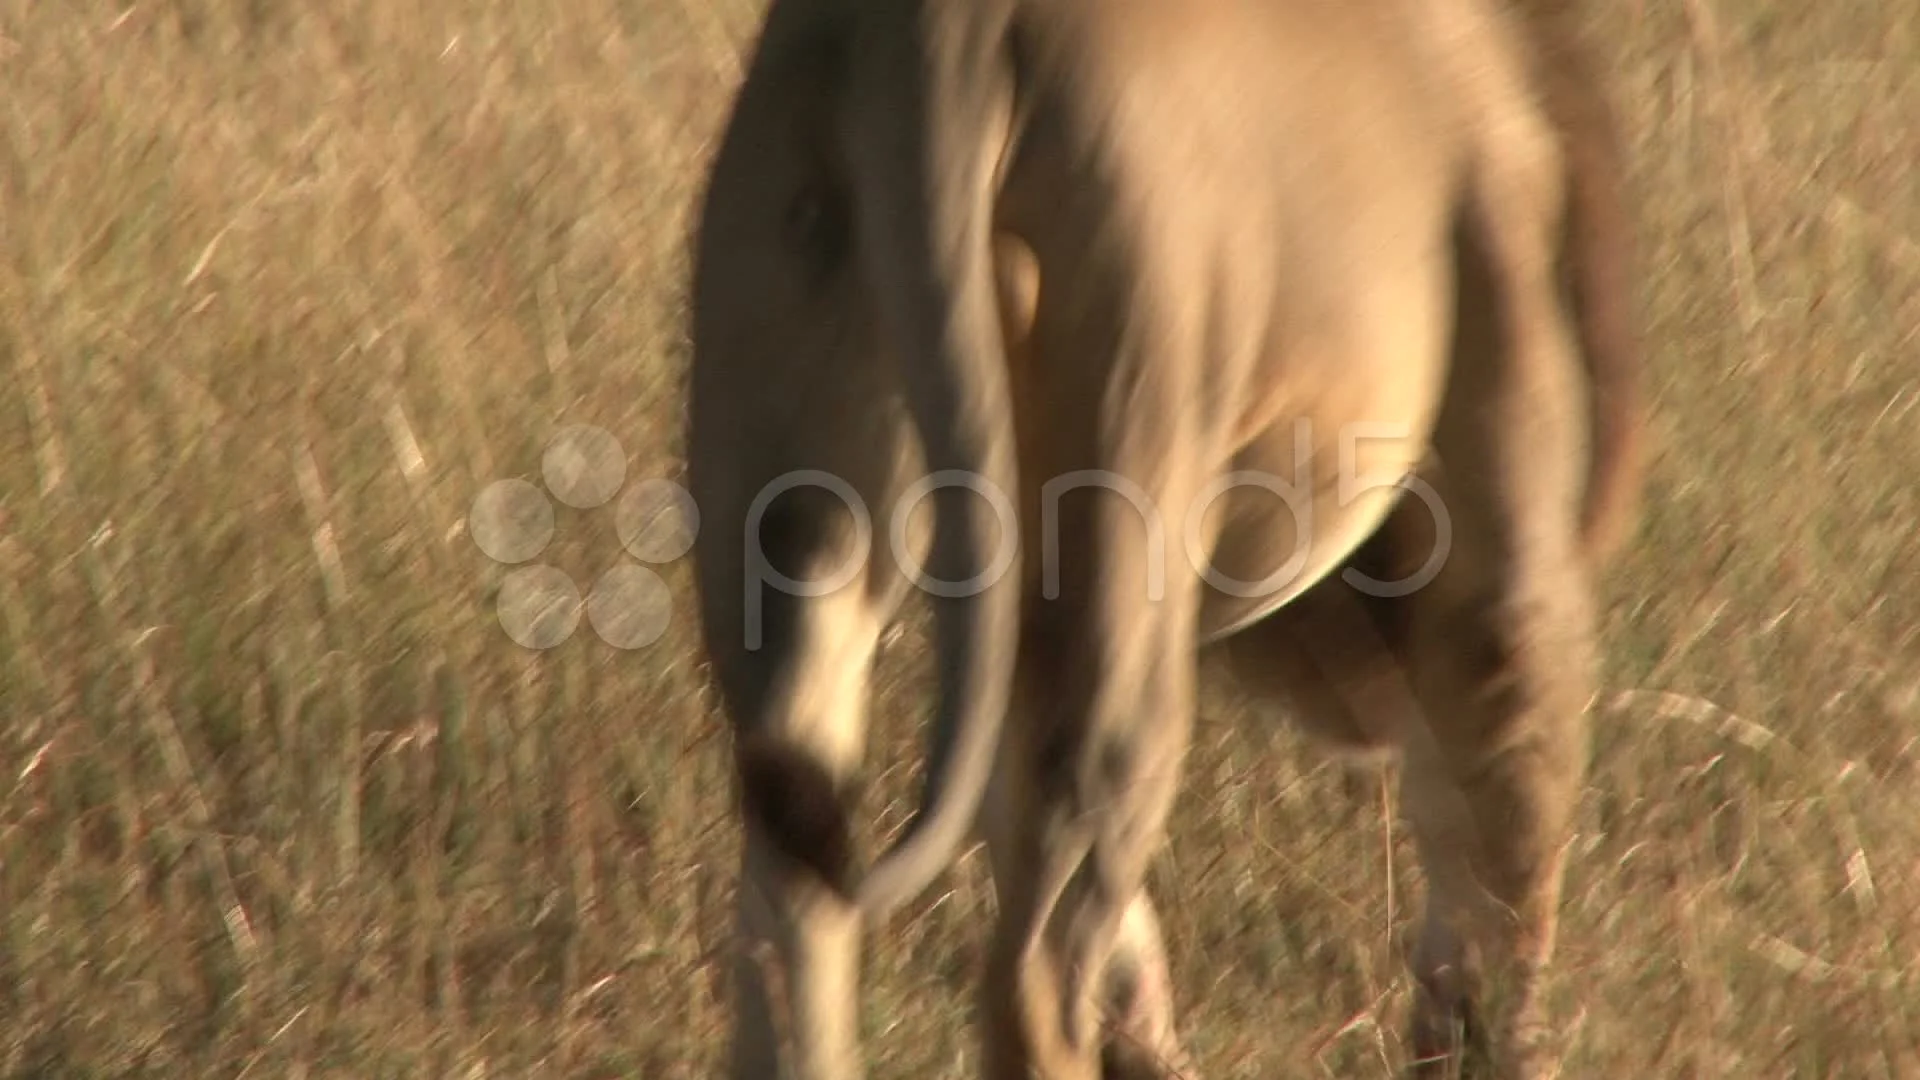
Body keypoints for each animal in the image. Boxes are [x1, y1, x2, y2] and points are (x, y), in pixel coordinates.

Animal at [684, 0, 1641, 1077]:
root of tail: (939, 32)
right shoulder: (1502, 519)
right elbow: (1504, 856)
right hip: (1135, 430)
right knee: (1033, 968)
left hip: (795, 497)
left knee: (795, 864)